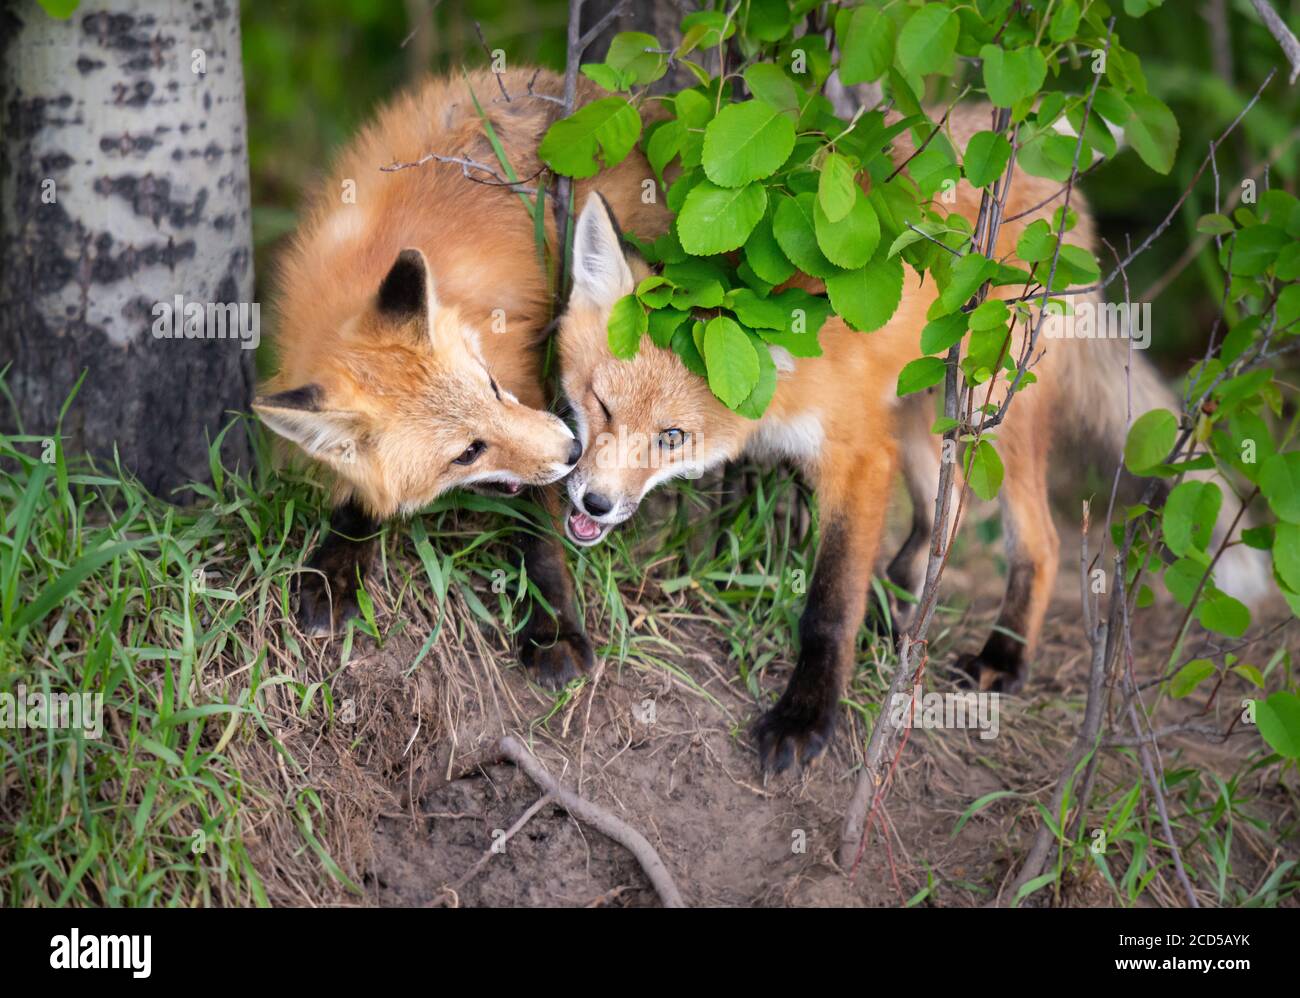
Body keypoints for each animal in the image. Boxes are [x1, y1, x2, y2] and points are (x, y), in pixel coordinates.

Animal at [256, 67, 666, 684]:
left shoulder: (525, 373)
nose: (573, 450)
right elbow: (361, 496)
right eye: (467, 452)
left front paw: (553, 629)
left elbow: (541, 535)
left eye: (493, 387)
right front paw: (336, 570)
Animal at [556, 105, 1270, 774]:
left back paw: (1003, 653)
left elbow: (828, 605)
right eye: (600, 404)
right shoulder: (873, 438)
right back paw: (898, 603)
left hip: (990, 412)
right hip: (925, 413)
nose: (593, 503)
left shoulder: (860, 454)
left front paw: (805, 716)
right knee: (945, 513)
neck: (784, 385)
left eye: (672, 437)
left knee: (1039, 540)